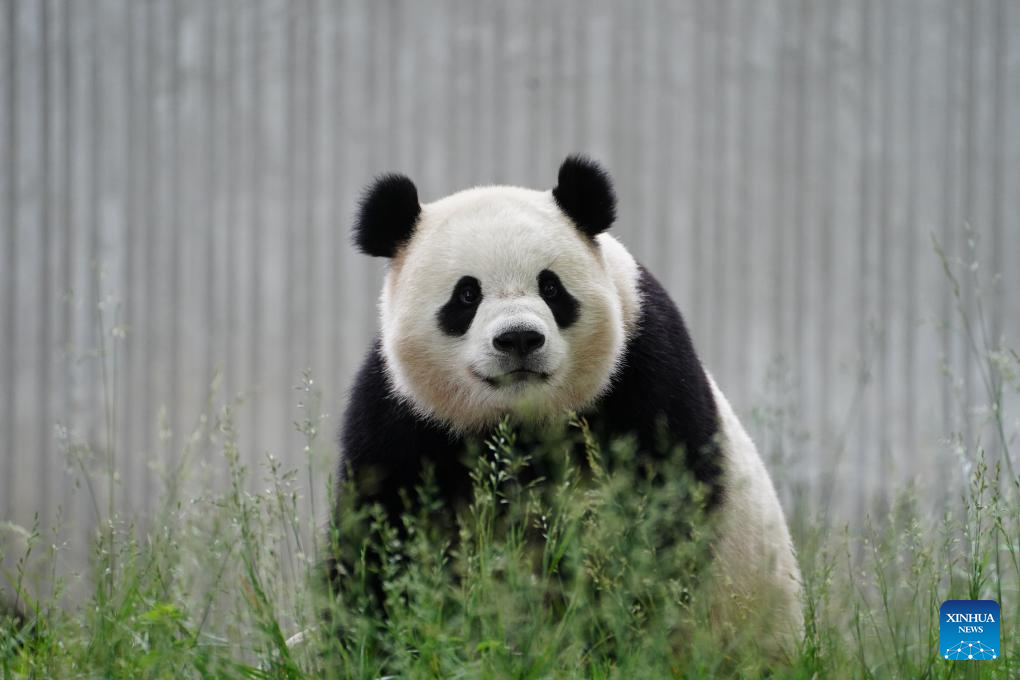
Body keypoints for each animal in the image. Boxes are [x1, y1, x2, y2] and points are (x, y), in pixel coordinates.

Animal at [334, 155, 803, 657]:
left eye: (551, 287)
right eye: (467, 294)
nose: (519, 338)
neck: (519, 423)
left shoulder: (644, 373)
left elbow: (655, 519)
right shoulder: (402, 413)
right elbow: (379, 535)